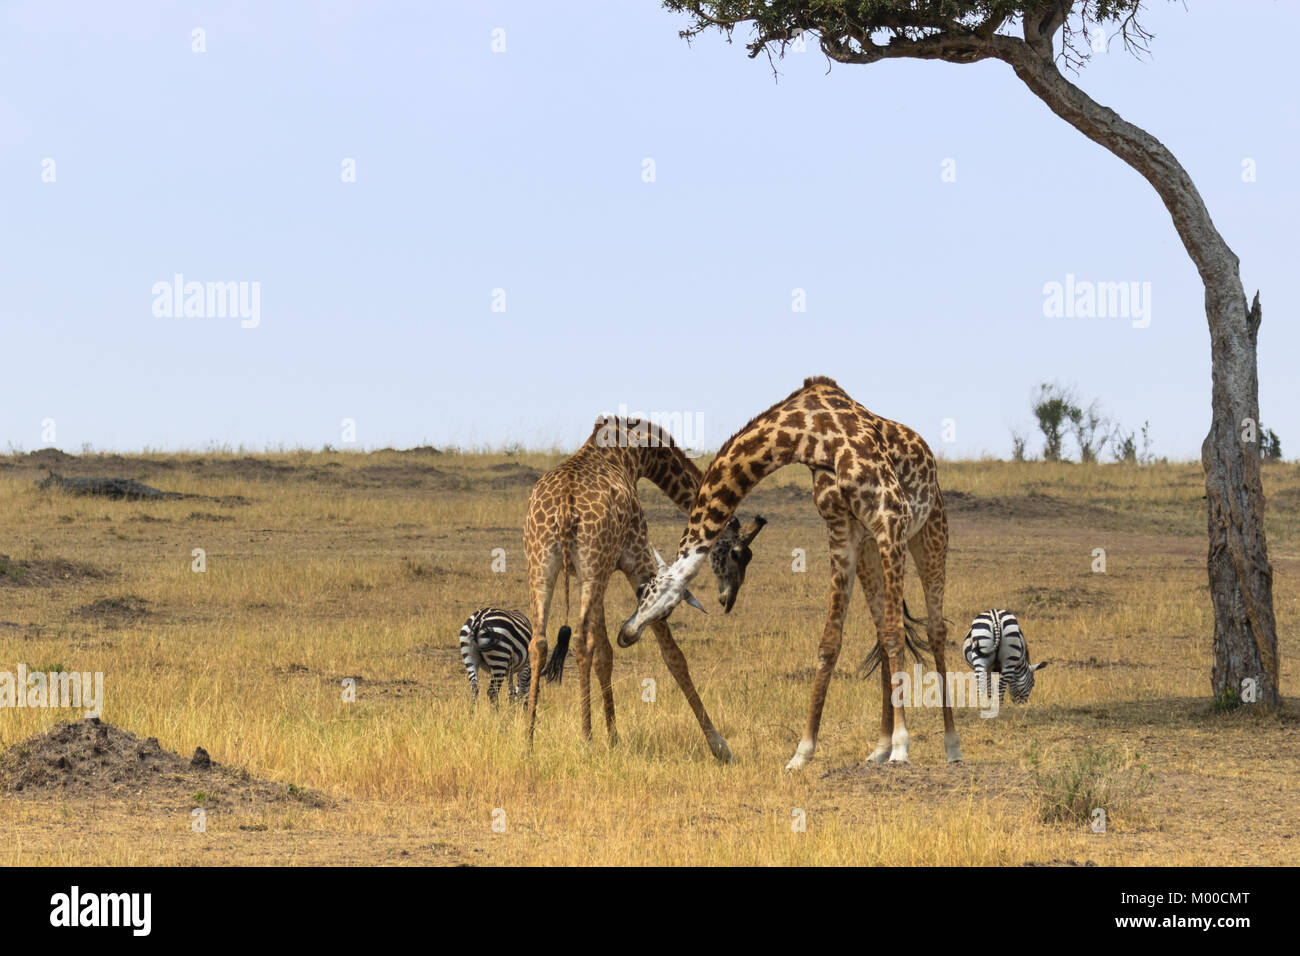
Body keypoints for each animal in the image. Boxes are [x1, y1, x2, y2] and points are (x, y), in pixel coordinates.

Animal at [522, 418, 764, 764]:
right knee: (580, 641)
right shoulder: (636, 559)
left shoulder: (599, 571)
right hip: (585, 567)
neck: (637, 452)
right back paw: (585, 741)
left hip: (542, 565)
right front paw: (719, 746)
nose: (728, 599)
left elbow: (606, 654)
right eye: (739, 555)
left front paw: (614, 738)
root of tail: (565, 508)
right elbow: (673, 655)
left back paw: (528, 740)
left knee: (540, 642)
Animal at [618, 374, 967, 770]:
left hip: (930, 530)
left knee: (934, 630)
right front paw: (803, 752)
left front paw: (902, 747)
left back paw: (951, 746)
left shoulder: (889, 517)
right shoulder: (842, 530)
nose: (625, 633)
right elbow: (832, 641)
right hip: (869, 551)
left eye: (651, 595)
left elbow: (896, 635)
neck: (812, 436)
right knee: (881, 630)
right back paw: (878, 748)